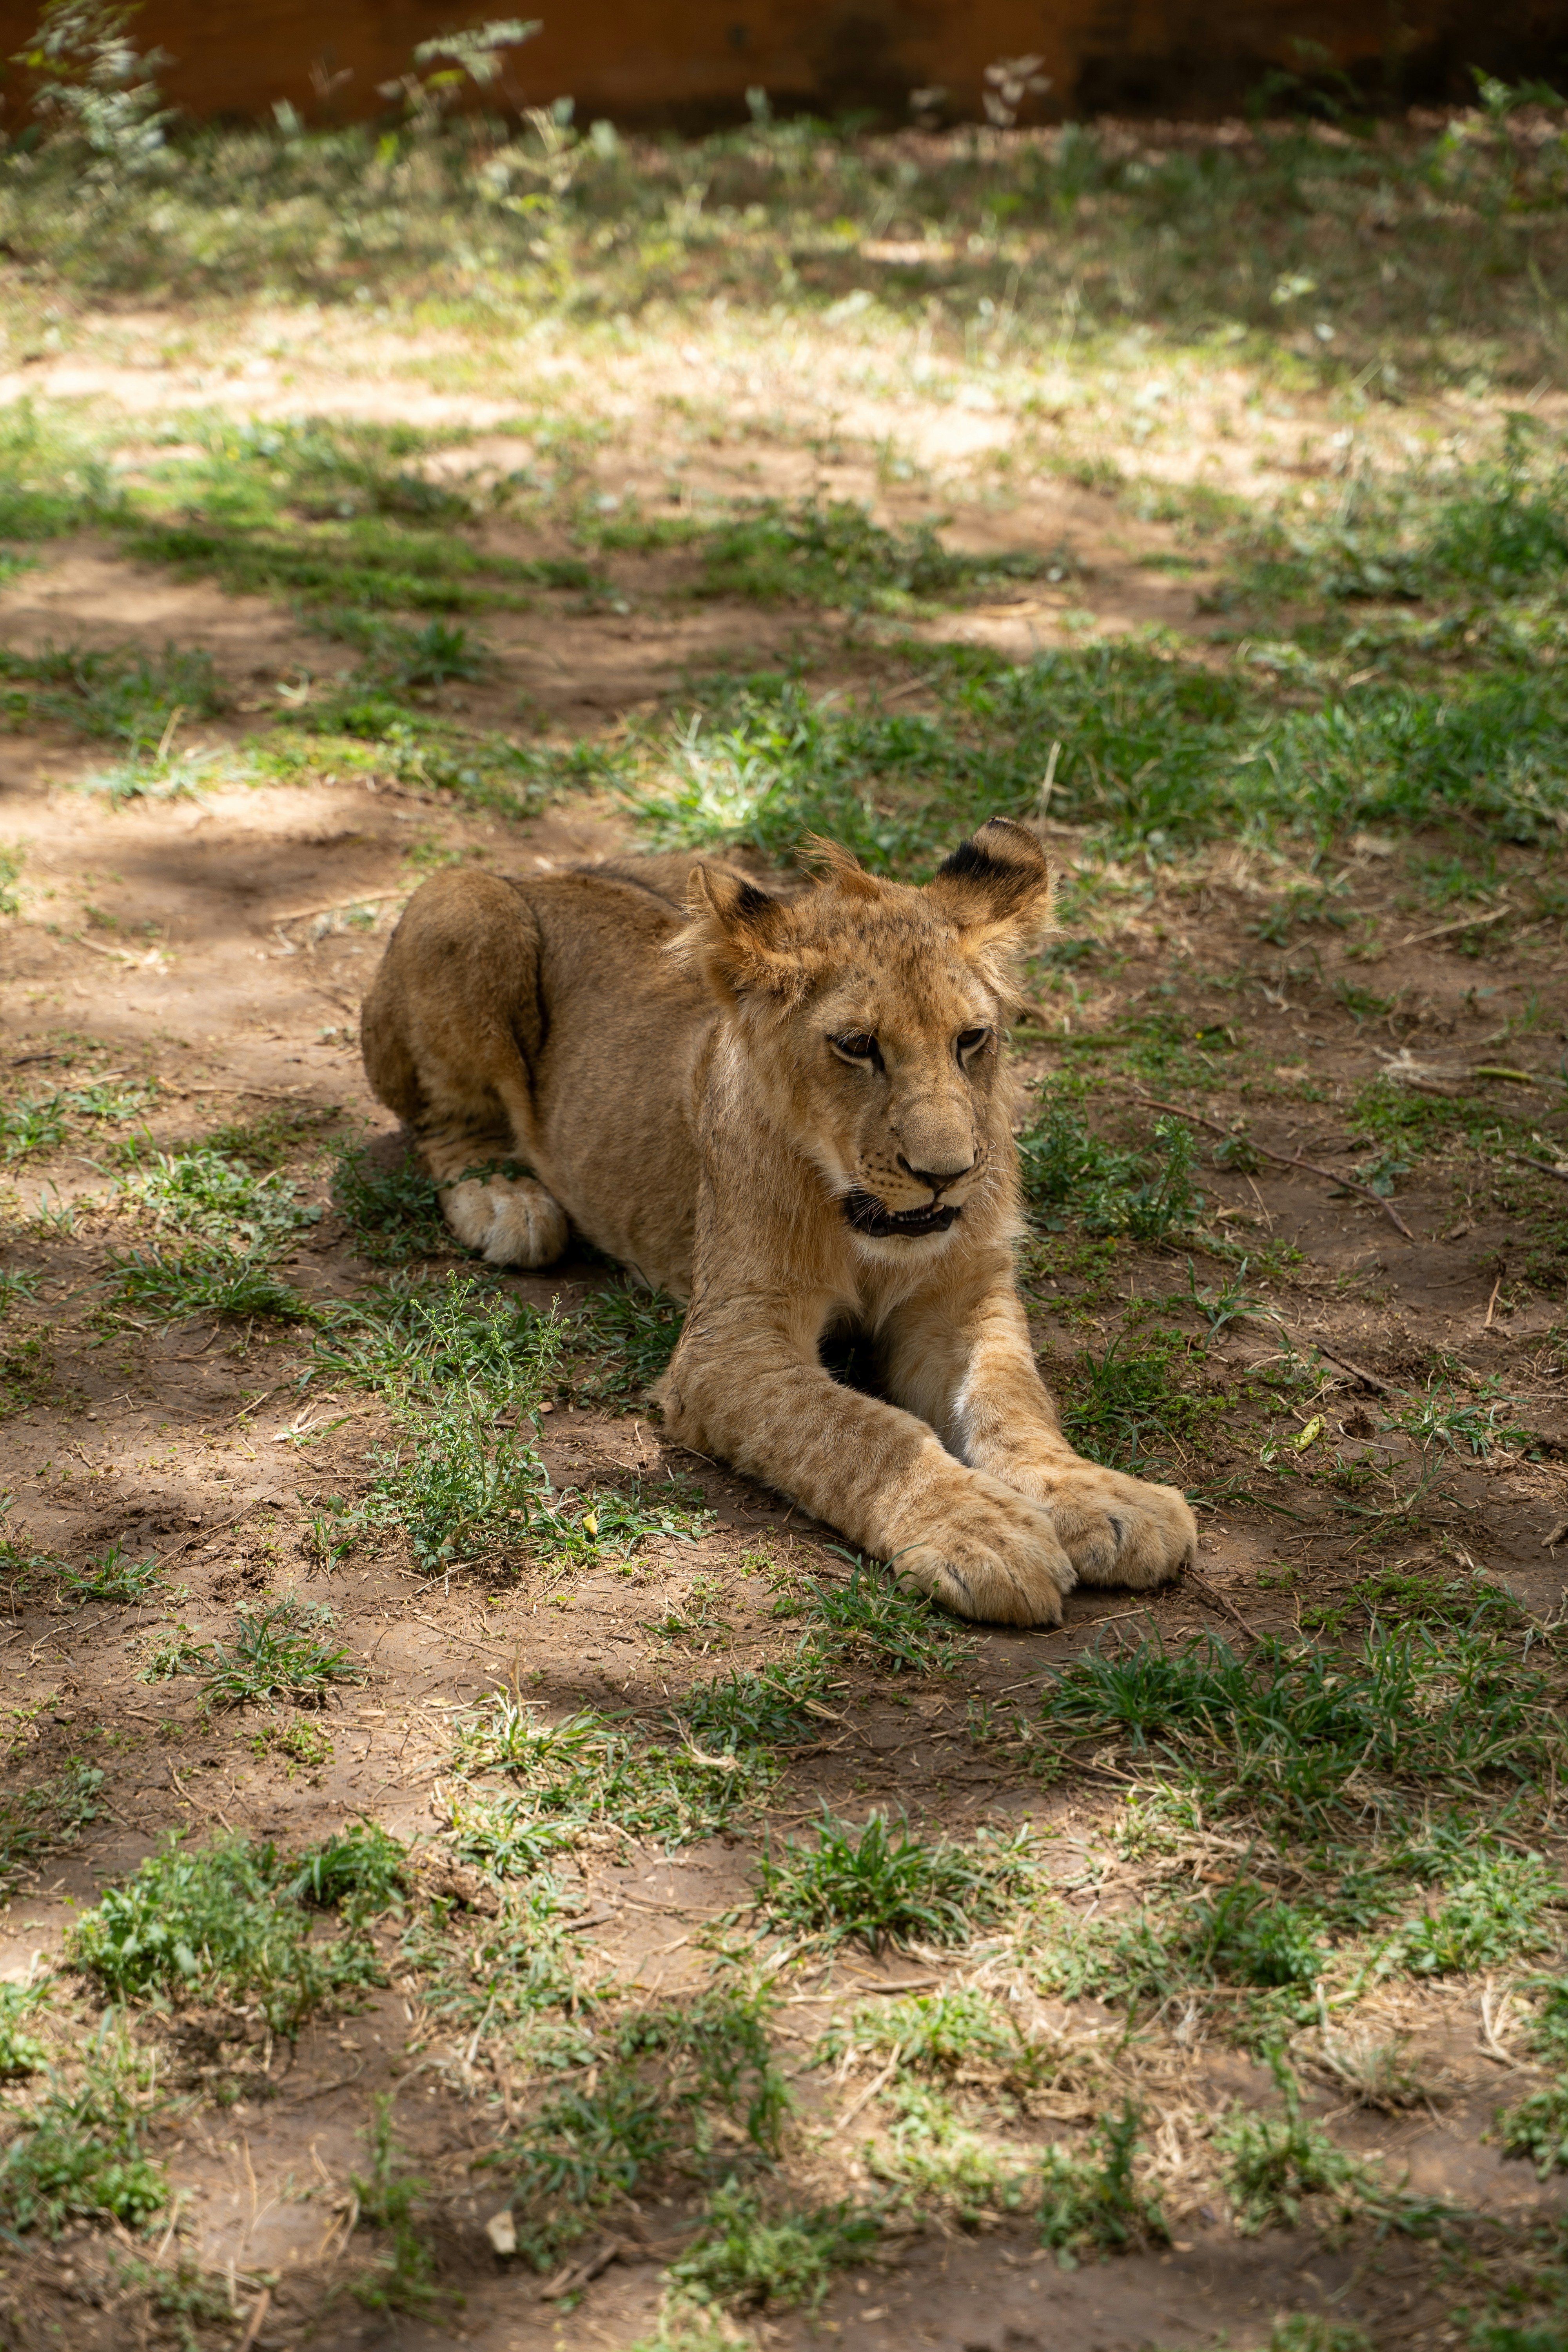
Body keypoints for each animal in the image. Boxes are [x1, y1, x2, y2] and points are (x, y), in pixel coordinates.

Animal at [359, 819, 1196, 1625]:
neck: (864, 1230)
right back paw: (508, 1200)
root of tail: (544, 875)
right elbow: (864, 1432)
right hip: (469, 908)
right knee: (446, 1122)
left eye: (971, 1039)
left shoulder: (960, 1298)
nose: (948, 1175)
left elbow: (1011, 1399)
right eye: (858, 1047)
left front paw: (1102, 1499)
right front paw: (983, 1533)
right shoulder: (729, 1348)